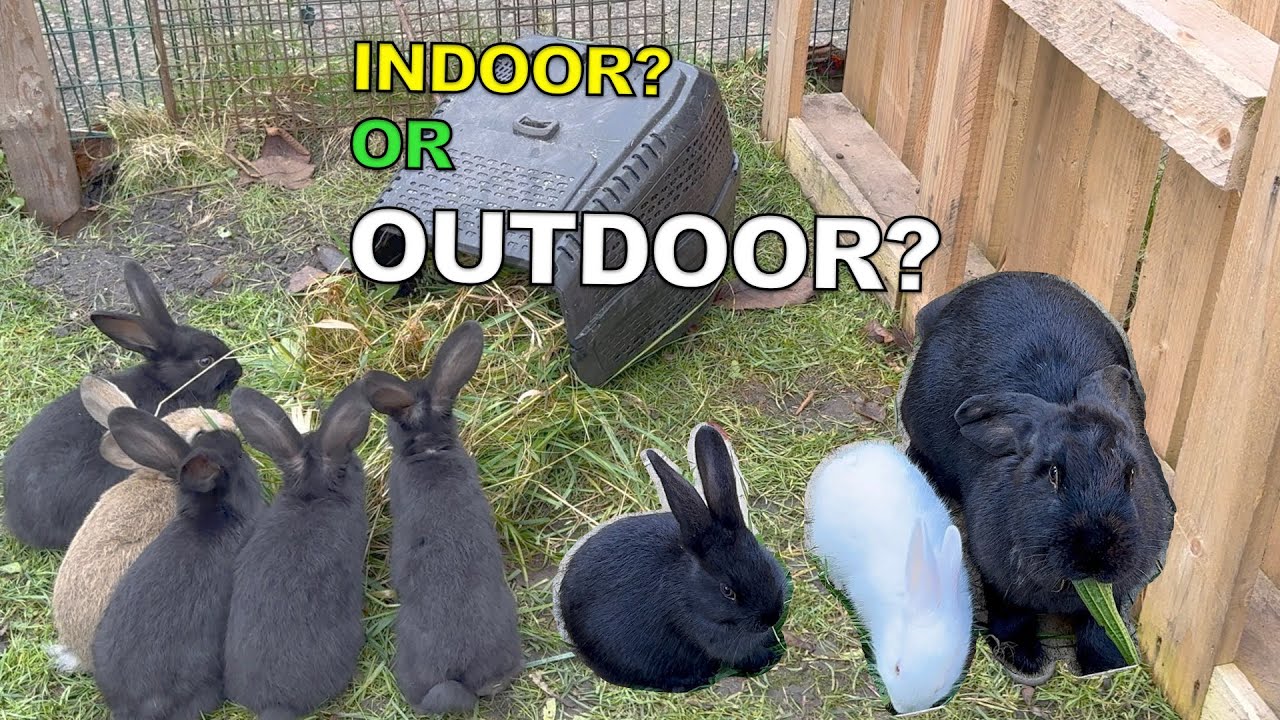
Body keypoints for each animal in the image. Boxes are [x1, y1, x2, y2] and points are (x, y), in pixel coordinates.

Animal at [898, 271, 1176, 677]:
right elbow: (1012, 613)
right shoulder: (996, 574)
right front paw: (1025, 661)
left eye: (1130, 476)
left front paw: (1105, 665)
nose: (1095, 555)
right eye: (1054, 475)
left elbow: (1098, 627)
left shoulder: (1116, 590)